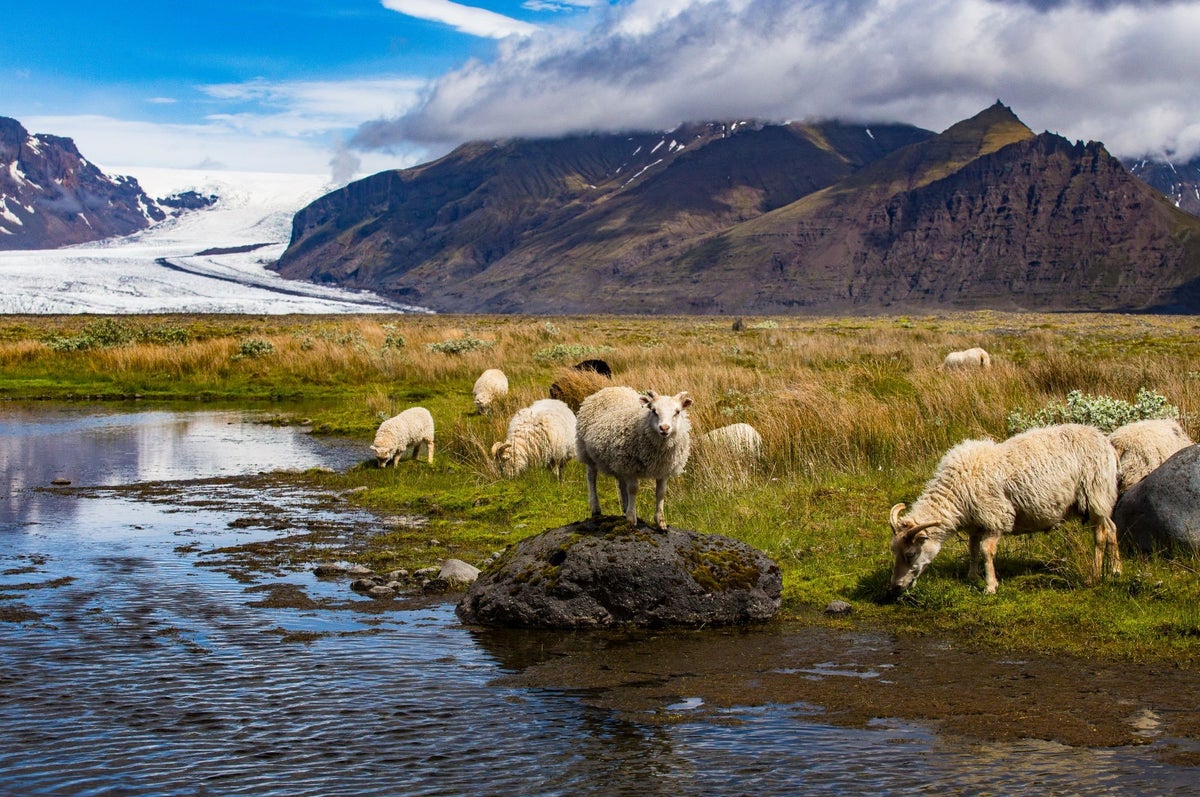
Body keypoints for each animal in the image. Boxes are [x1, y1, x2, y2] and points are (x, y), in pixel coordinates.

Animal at [576, 386, 693, 530]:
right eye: (654, 411)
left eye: (677, 412)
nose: (664, 428)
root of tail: (611, 388)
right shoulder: (631, 467)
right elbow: (633, 489)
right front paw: (632, 518)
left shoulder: (664, 469)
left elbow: (661, 493)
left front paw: (660, 521)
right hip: (587, 452)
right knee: (591, 477)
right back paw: (595, 508)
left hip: (619, 460)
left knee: (621, 482)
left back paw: (624, 506)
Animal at [889, 423, 1120, 594]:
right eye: (894, 551)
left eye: (910, 554)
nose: (896, 586)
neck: (956, 491)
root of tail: (1105, 441)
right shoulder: (976, 522)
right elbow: (973, 549)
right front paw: (972, 576)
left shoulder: (995, 517)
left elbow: (986, 551)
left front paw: (990, 586)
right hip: (1101, 498)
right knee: (1112, 528)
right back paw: (1116, 571)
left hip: (1095, 492)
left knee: (1100, 533)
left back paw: (1094, 576)